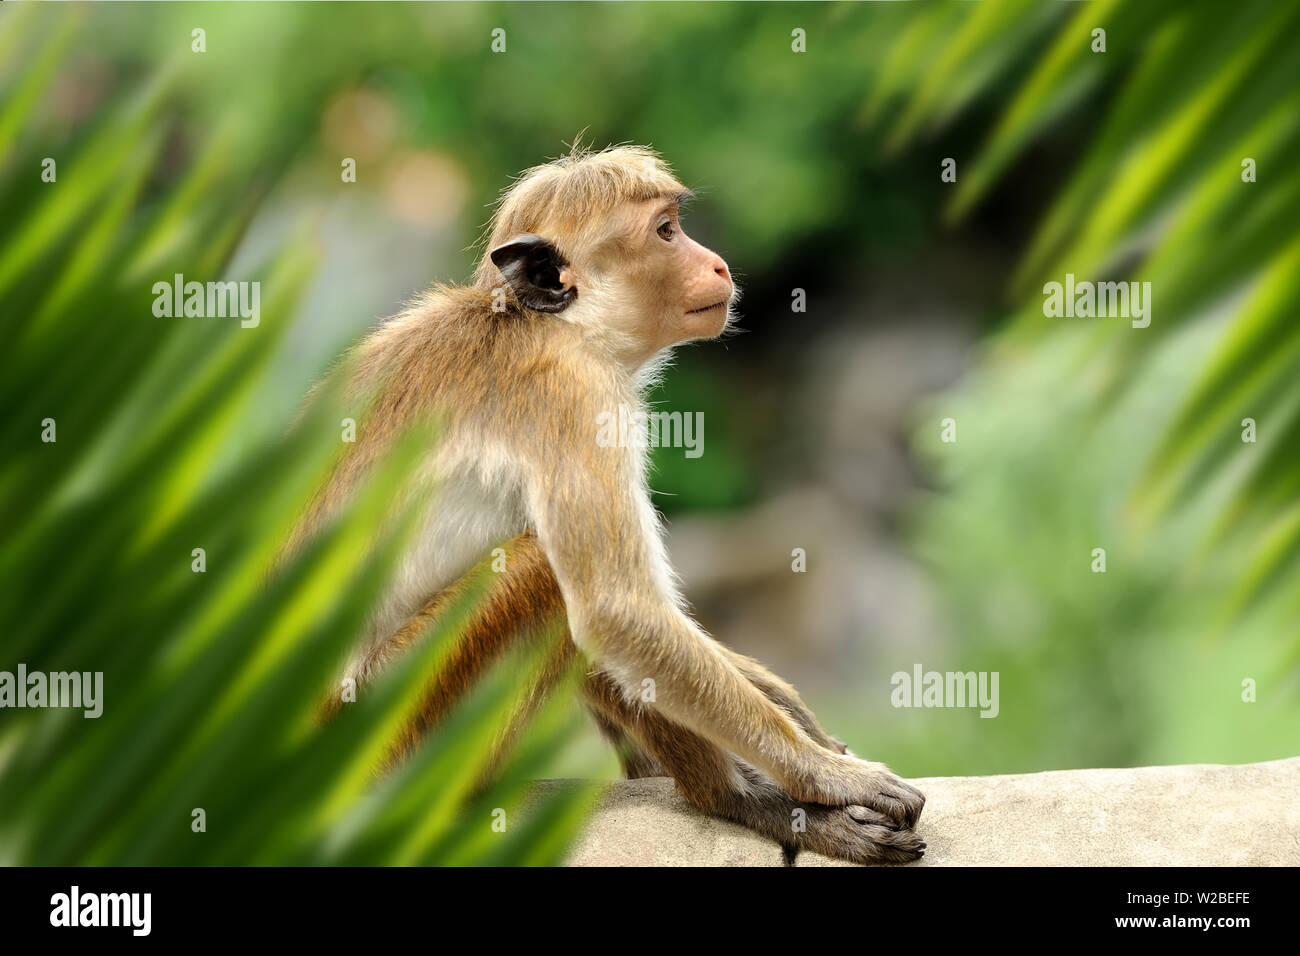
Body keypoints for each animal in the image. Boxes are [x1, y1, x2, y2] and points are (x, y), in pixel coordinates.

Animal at [292, 144, 926, 864]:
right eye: (666, 233)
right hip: (396, 737)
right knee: (546, 579)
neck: (550, 324)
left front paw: (795, 716)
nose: (717, 263)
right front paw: (822, 778)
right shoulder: (574, 395)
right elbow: (617, 612)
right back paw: (739, 801)